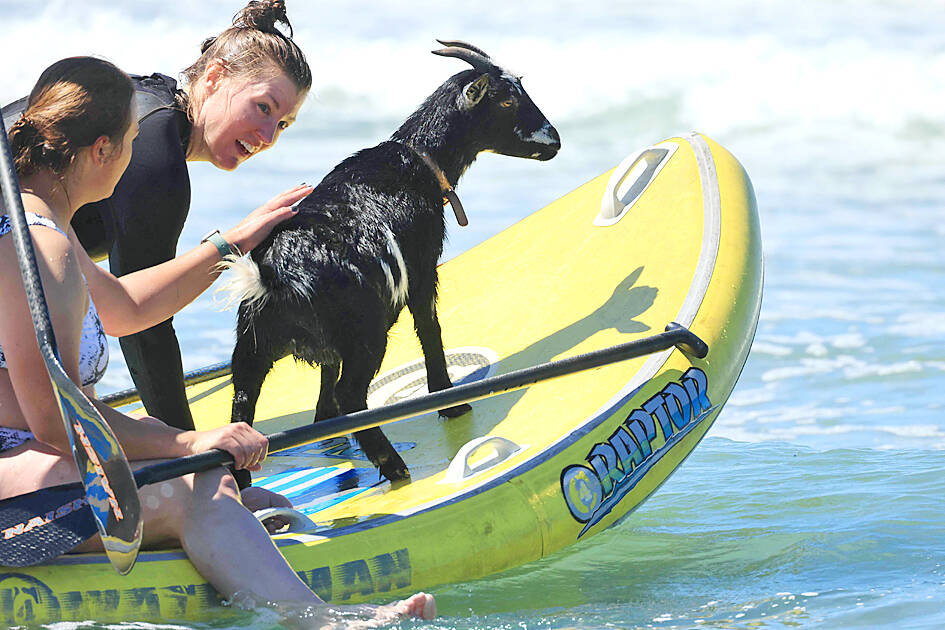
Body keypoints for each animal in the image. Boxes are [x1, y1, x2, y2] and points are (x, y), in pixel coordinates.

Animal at [223, 40, 561, 484]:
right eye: (506, 99)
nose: (554, 140)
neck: (416, 163)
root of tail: (277, 275)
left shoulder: (332, 346)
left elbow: (327, 379)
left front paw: (324, 424)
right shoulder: (421, 268)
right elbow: (429, 327)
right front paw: (451, 401)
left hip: (253, 343)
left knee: (242, 403)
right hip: (365, 332)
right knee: (351, 393)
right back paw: (394, 466)